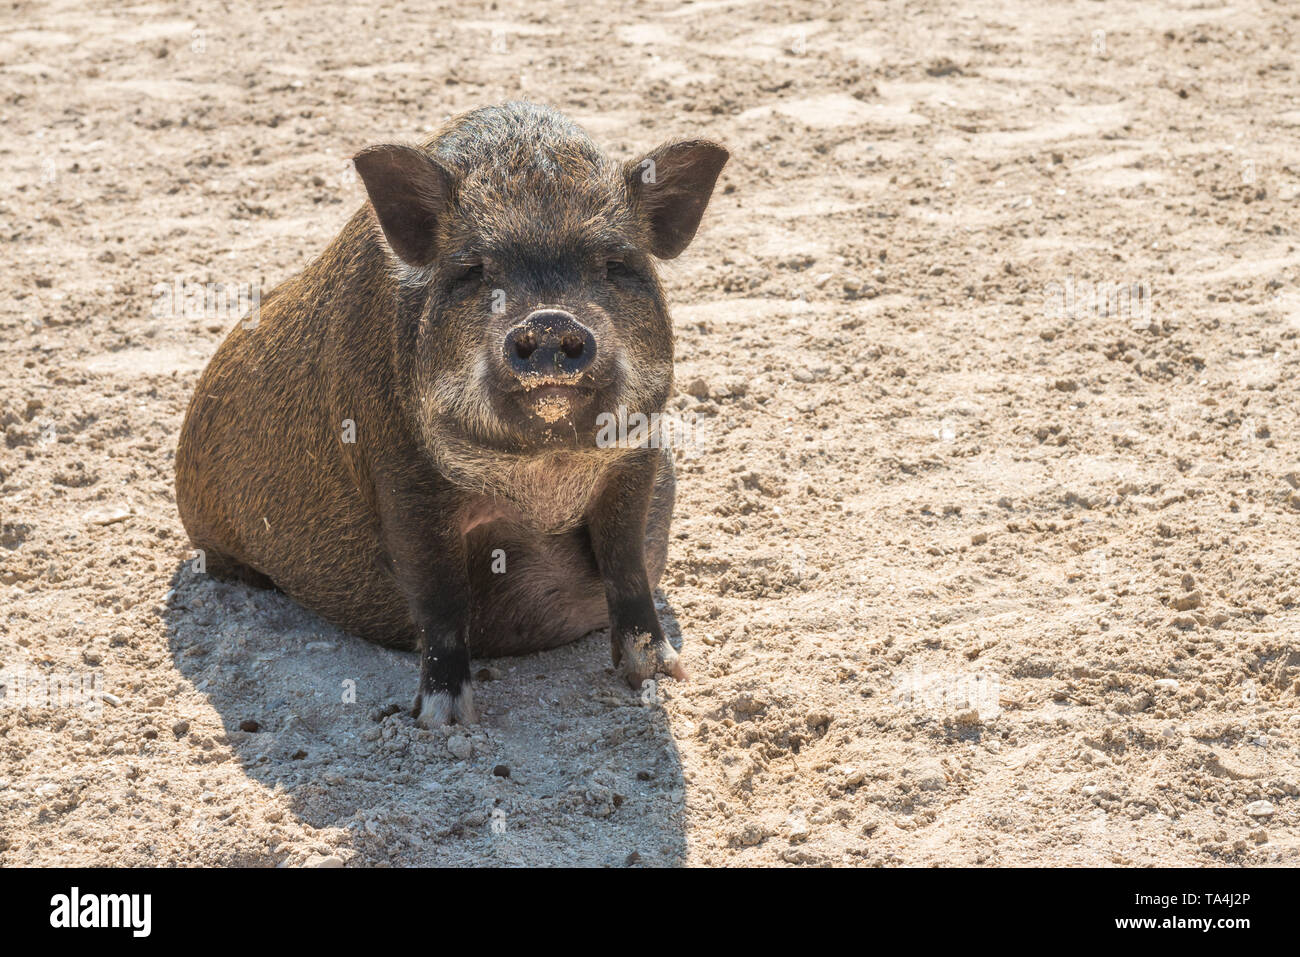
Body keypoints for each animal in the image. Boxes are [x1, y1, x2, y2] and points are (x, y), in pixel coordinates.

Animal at [174, 102, 728, 726]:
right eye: (473, 270)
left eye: (615, 263)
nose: (550, 319)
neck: (543, 478)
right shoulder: (401, 474)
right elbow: (440, 596)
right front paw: (442, 719)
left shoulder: (638, 453)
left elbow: (627, 563)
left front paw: (663, 674)